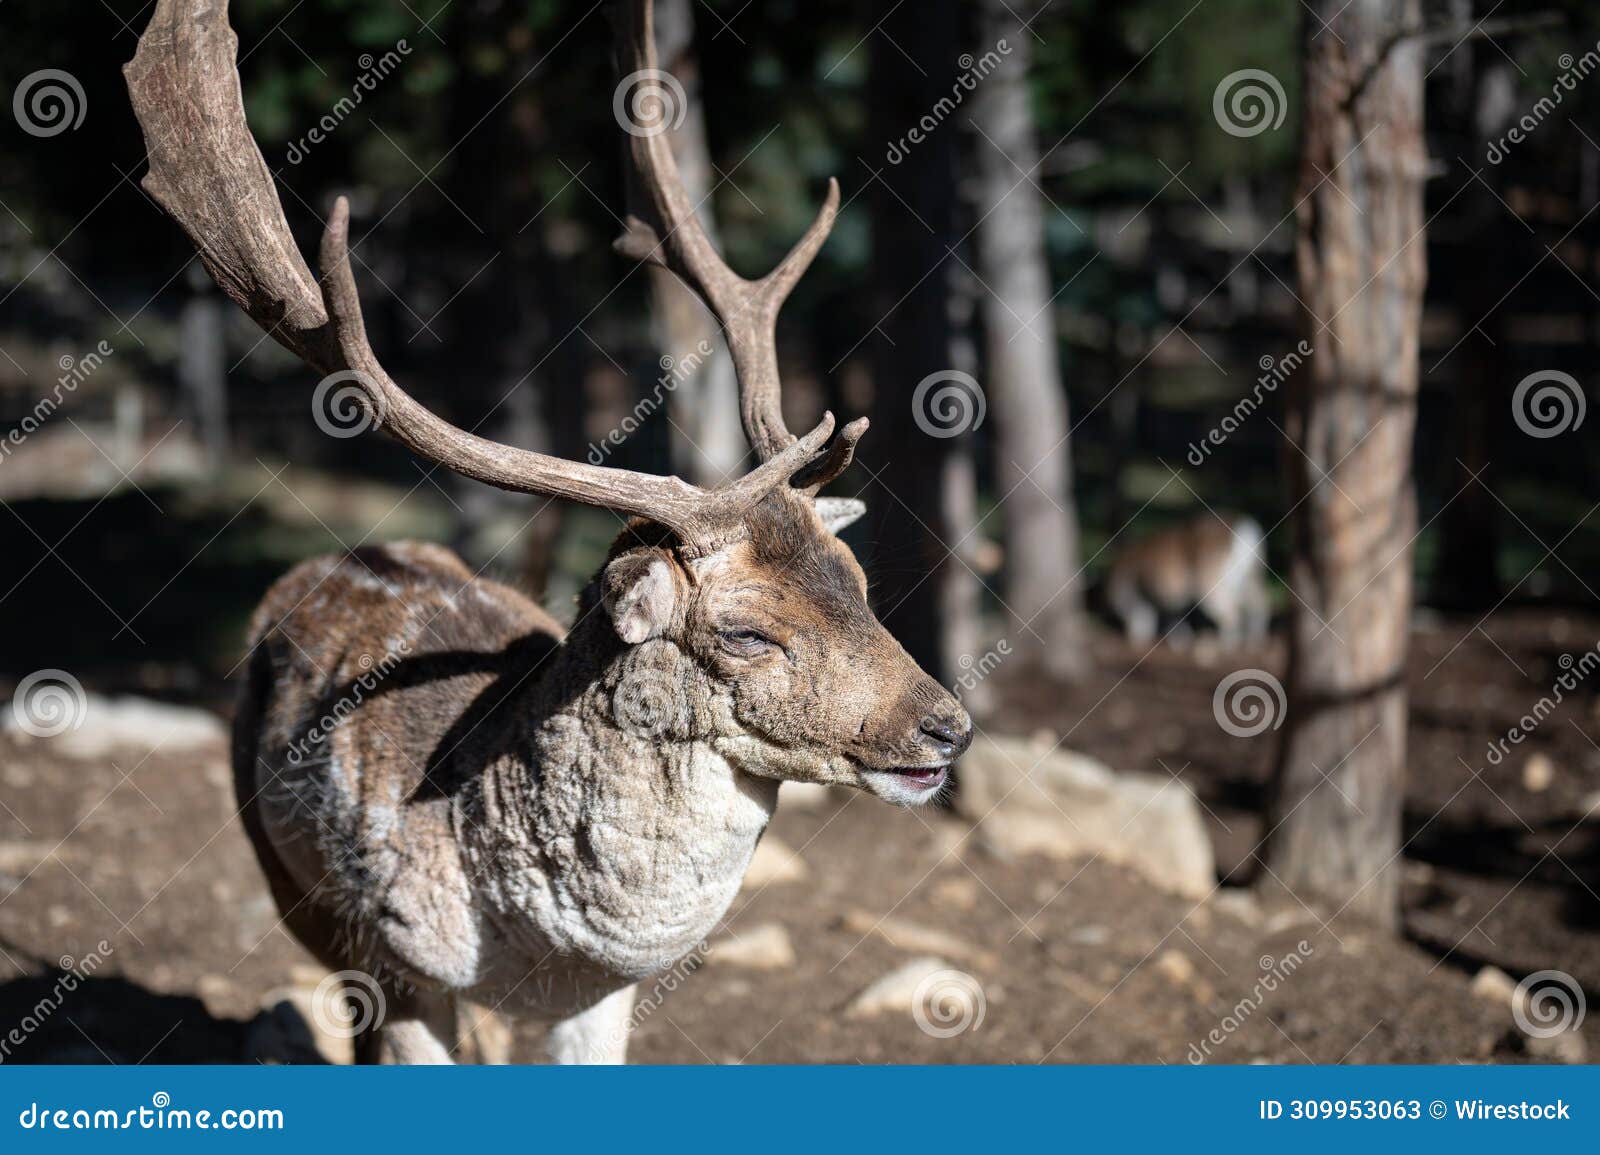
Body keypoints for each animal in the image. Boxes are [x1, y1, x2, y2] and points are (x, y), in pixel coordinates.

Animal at [124, 0, 973, 1063]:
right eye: (745, 631)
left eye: (857, 580)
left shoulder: (606, 995)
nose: (949, 724)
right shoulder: (401, 958)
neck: (540, 945)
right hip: (294, 890)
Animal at [1103, 512, 1270, 648]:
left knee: (1232, 614)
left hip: (1212, 583)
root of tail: (1244, 531)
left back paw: (1225, 647)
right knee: (1260, 605)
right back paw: (1255, 642)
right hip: (1252, 577)